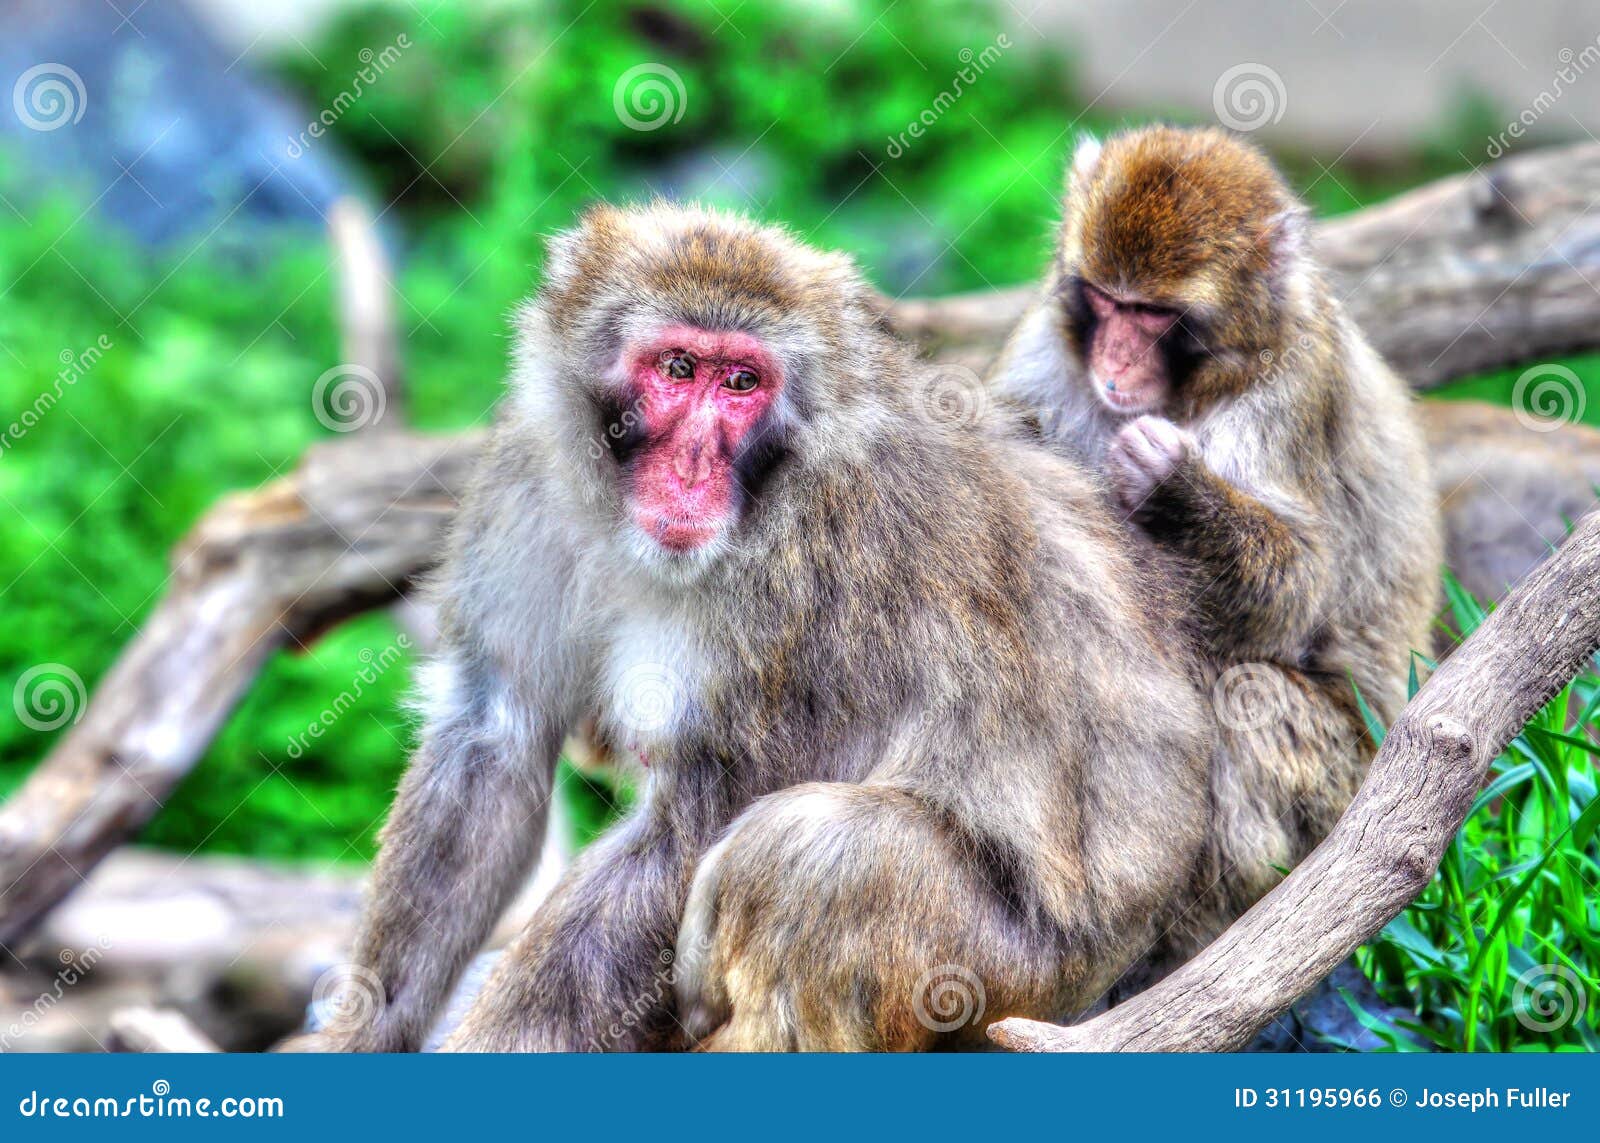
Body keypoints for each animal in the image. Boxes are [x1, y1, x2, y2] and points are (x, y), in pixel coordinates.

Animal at [283, 201, 1224, 1052]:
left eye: (742, 383)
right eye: (677, 367)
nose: (696, 461)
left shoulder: (806, 586)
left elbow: (693, 832)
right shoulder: (530, 468)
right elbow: (494, 738)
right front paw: (365, 1027)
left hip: (1024, 976)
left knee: (810, 854)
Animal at [988, 125, 1442, 958]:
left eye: (1153, 314)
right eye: (1105, 301)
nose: (1113, 362)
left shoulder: (1294, 379)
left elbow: (1294, 588)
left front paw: (1171, 483)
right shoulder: (1046, 343)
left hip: (1340, 779)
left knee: (1240, 693)